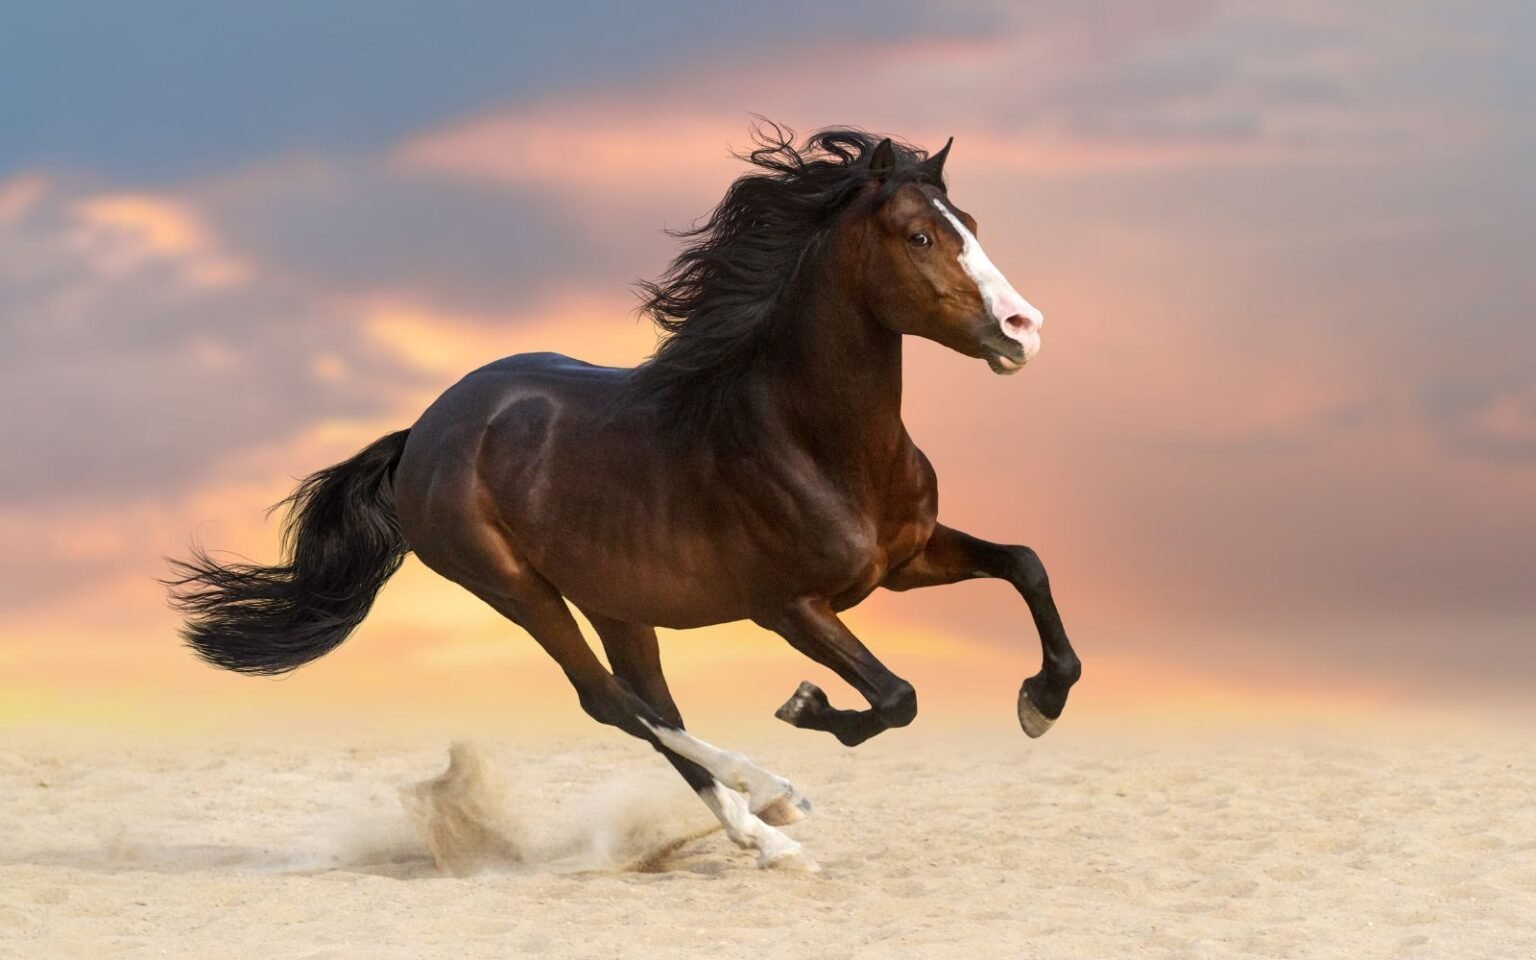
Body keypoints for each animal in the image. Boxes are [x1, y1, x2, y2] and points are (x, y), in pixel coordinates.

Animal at [167, 124, 1081, 870]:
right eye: (919, 235)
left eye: (973, 226)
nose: (1024, 329)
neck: (810, 439)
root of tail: (423, 432)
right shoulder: (789, 607)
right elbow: (896, 697)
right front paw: (806, 705)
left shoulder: (904, 560)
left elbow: (1027, 565)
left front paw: (1040, 701)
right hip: (516, 589)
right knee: (611, 702)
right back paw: (775, 804)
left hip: (617, 601)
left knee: (645, 701)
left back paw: (762, 828)